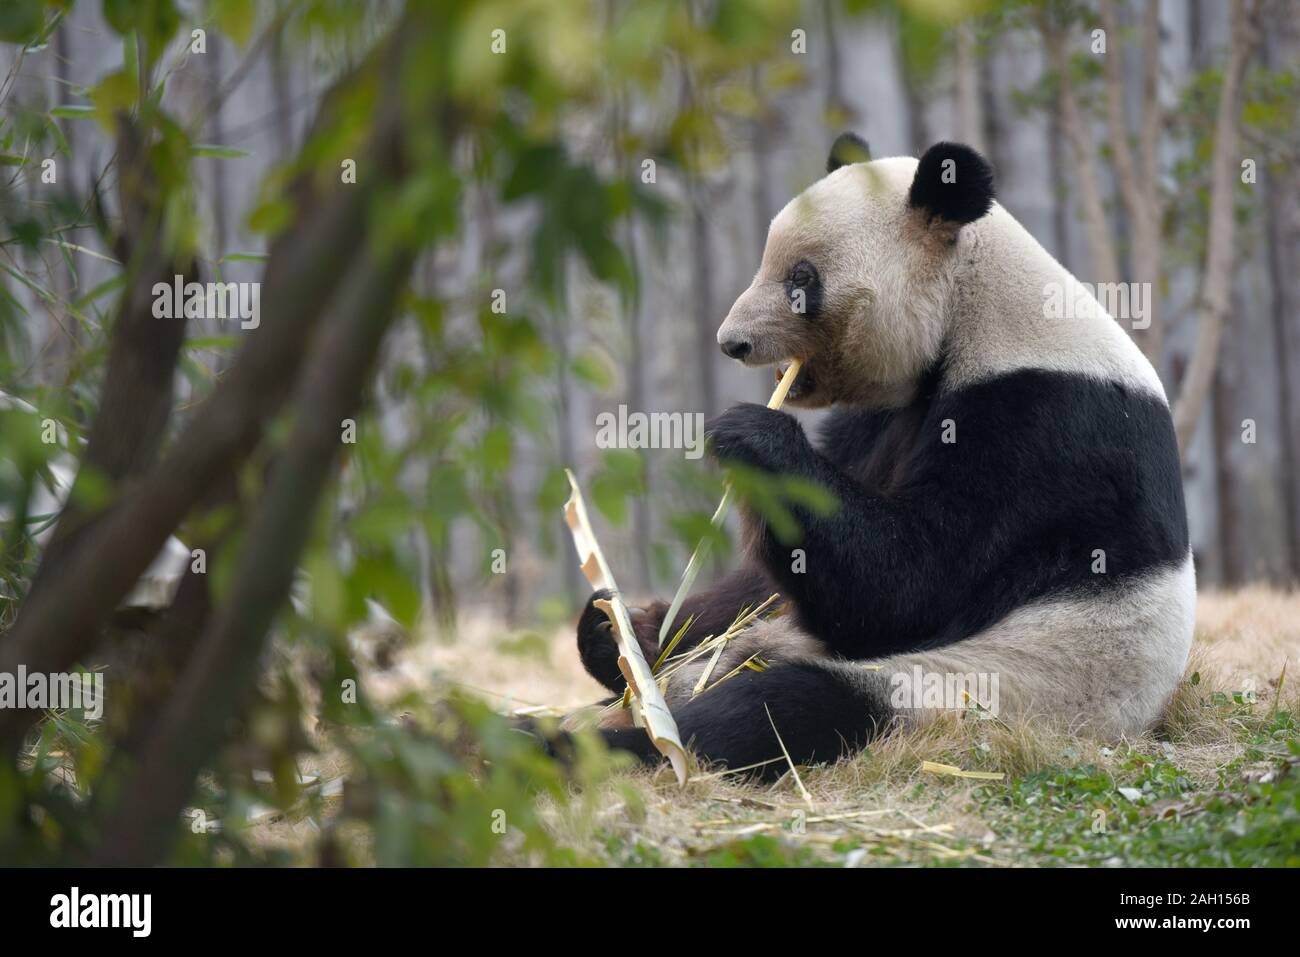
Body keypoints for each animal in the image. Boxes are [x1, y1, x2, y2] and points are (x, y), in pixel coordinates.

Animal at [572, 136, 1195, 778]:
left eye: (802, 278)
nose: (732, 342)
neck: (969, 302)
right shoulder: (879, 418)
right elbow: (777, 575)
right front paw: (626, 625)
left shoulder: (1041, 421)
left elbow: (908, 586)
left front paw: (751, 436)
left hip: (979, 687)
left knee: (780, 707)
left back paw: (606, 745)